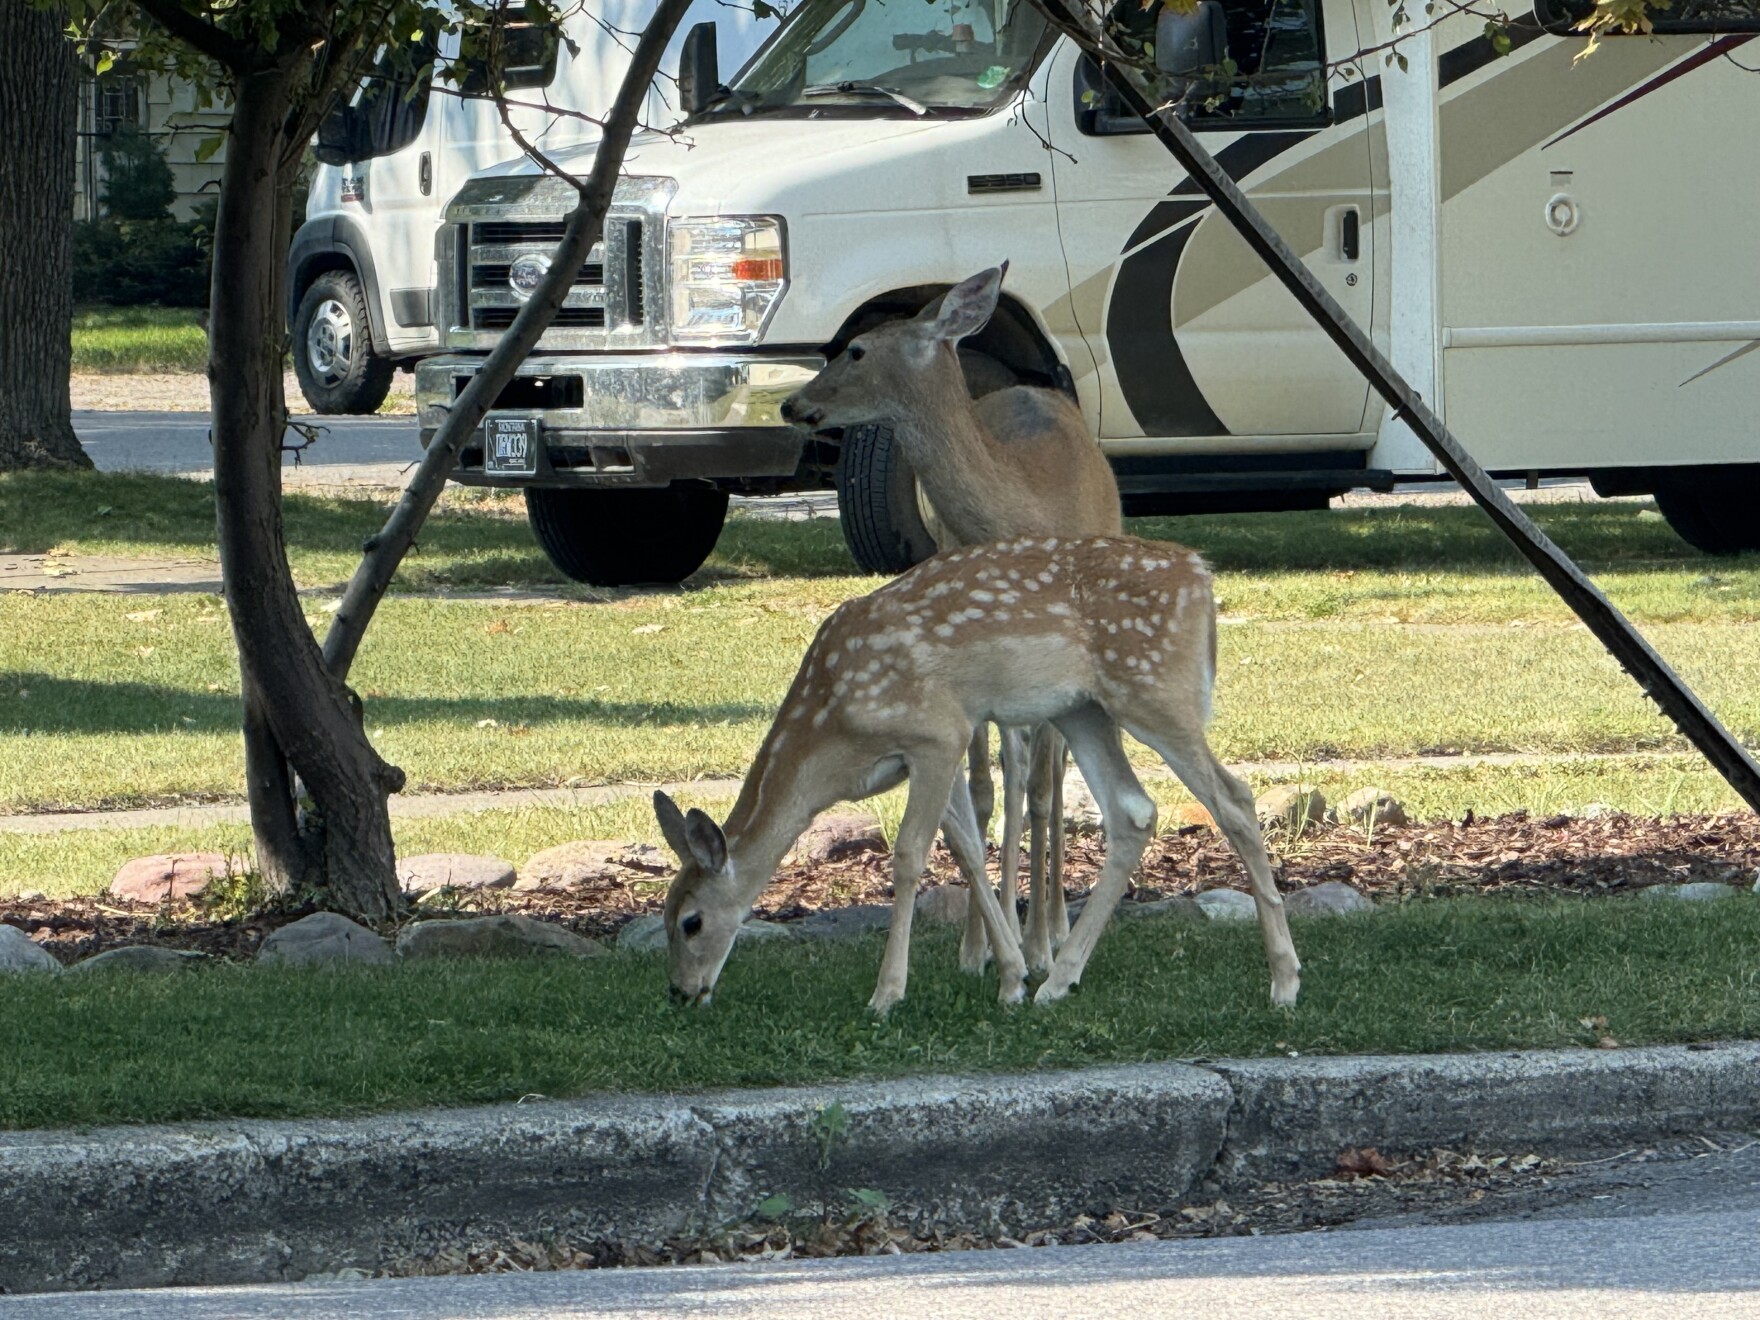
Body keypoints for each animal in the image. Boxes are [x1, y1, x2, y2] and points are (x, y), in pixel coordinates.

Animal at [653, 535, 1301, 1017]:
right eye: (663, 916)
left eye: (691, 922)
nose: (681, 993)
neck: (832, 731)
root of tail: (1202, 576)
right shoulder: (930, 751)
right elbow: (965, 847)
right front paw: (1012, 977)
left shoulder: (938, 731)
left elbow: (910, 855)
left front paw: (886, 994)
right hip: (1084, 708)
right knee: (1133, 811)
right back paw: (1057, 981)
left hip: (1155, 688)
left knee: (1234, 799)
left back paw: (1285, 981)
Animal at [780, 265, 1123, 977]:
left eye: (857, 350)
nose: (792, 404)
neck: (1022, 510)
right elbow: (984, 790)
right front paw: (978, 949)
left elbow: (1039, 789)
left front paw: (1036, 944)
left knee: (1051, 777)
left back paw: (1052, 928)